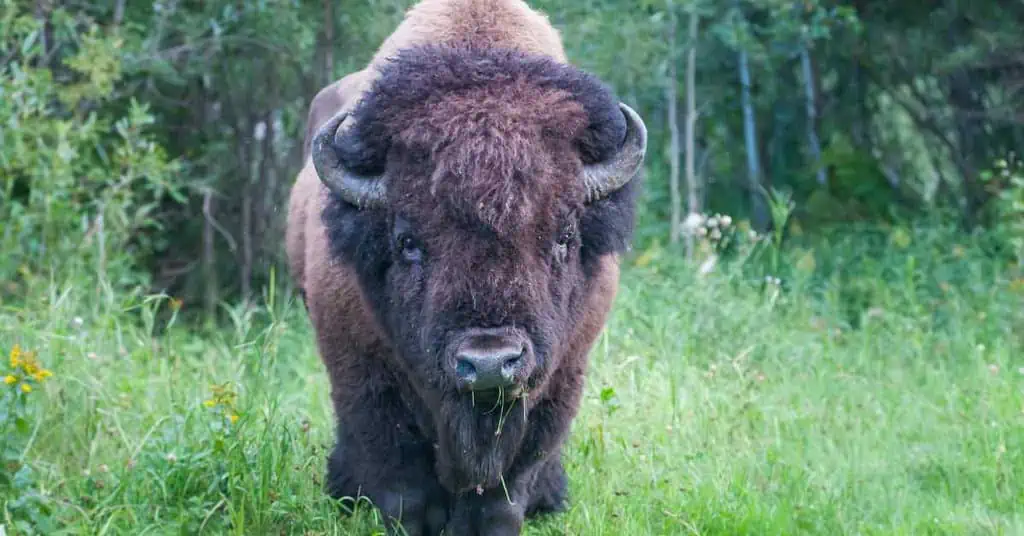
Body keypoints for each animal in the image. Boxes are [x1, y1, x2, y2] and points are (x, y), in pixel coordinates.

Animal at [285, 0, 647, 534]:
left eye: (564, 236)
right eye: (407, 242)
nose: (490, 362)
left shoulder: (559, 381)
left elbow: (507, 486)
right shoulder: (362, 372)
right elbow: (402, 483)